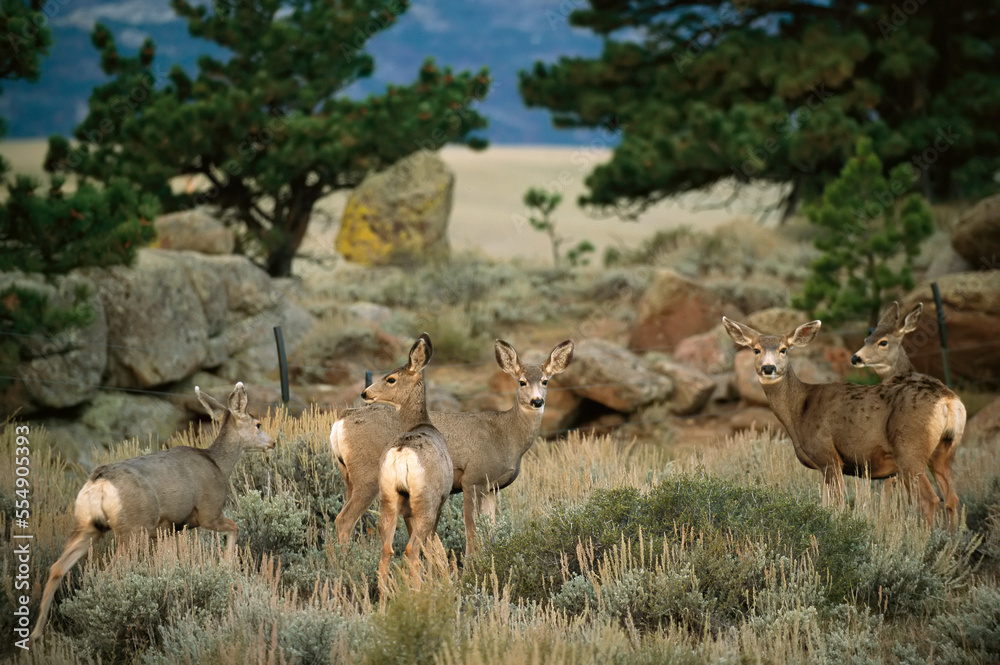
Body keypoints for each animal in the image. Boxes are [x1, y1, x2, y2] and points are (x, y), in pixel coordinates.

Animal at [30, 382, 274, 642]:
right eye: (258, 424)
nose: (273, 443)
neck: (219, 465)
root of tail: (99, 483)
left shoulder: (170, 529)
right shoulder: (209, 512)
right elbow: (235, 527)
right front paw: (226, 569)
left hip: (88, 526)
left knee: (57, 568)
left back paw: (36, 634)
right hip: (132, 529)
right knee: (107, 574)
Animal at [331, 339, 574, 556]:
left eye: (545, 381)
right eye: (522, 382)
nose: (537, 401)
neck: (506, 434)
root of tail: (340, 421)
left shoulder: (492, 487)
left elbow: (491, 532)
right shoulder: (473, 479)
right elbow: (472, 533)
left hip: (350, 477)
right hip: (369, 475)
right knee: (345, 520)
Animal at [359, 333, 452, 594]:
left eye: (390, 379)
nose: (365, 393)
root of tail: (401, 453)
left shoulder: (406, 511)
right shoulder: (441, 500)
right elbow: (431, 545)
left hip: (389, 497)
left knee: (386, 550)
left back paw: (384, 597)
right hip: (425, 500)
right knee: (412, 549)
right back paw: (420, 592)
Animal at [722, 316, 964, 525]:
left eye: (784, 349)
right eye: (756, 349)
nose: (768, 368)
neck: (799, 410)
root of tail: (949, 401)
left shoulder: (828, 456)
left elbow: (837, 505)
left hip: (909, 449)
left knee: (929, 500)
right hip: (944, 451)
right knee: (952, 498)